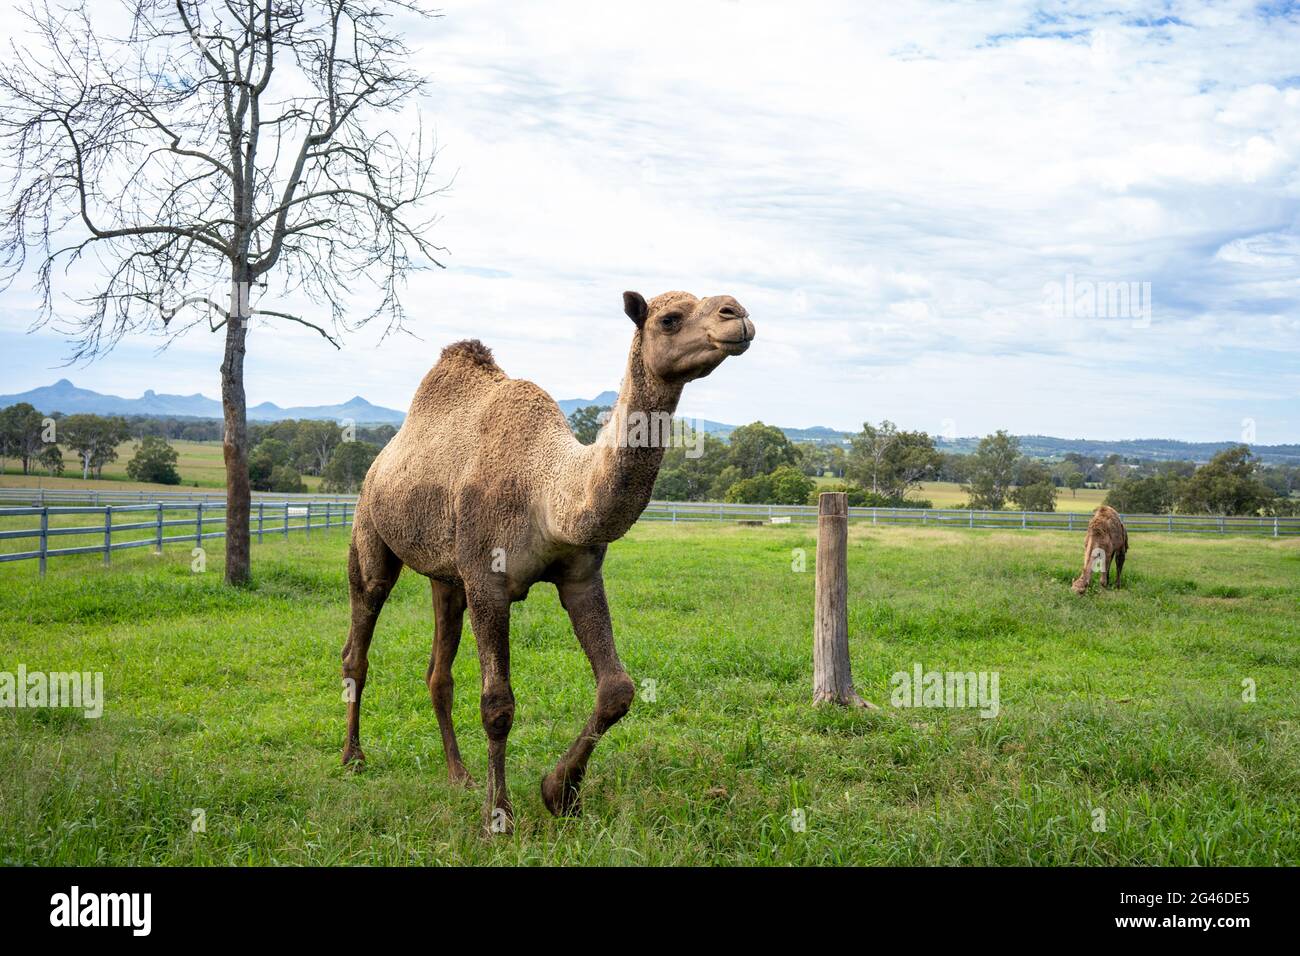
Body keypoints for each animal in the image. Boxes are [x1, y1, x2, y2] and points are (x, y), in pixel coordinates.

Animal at [341, 290, 755, 833]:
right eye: (669, 319)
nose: (736, 314)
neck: (549, 491)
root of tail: (377, 463)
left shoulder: (580, 575)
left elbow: (617, 689)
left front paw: (560, 792)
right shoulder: (488, 580)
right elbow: (497, 704)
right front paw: (499, 818)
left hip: (446, 577)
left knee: (438, 673)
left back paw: (459, 775)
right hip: (371, 532)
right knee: (359, 640)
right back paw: (353, 758)